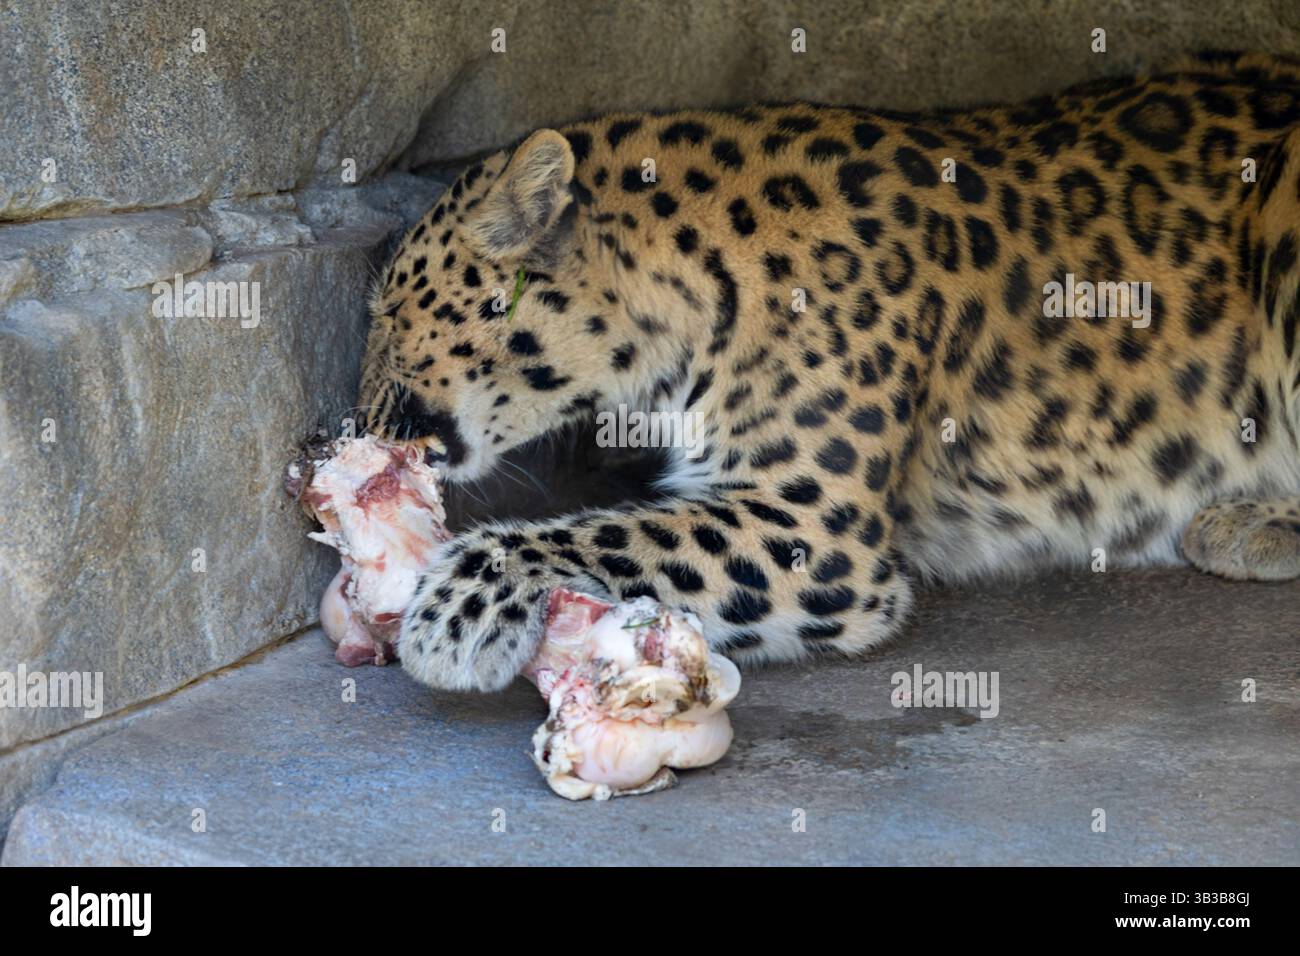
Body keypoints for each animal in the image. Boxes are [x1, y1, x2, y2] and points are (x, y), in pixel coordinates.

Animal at [357, 51, 1300, 692]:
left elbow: (613, 535)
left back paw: (1248, 519)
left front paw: (457, 607)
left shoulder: (815, 527)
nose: (355, 429)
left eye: (385, 317)